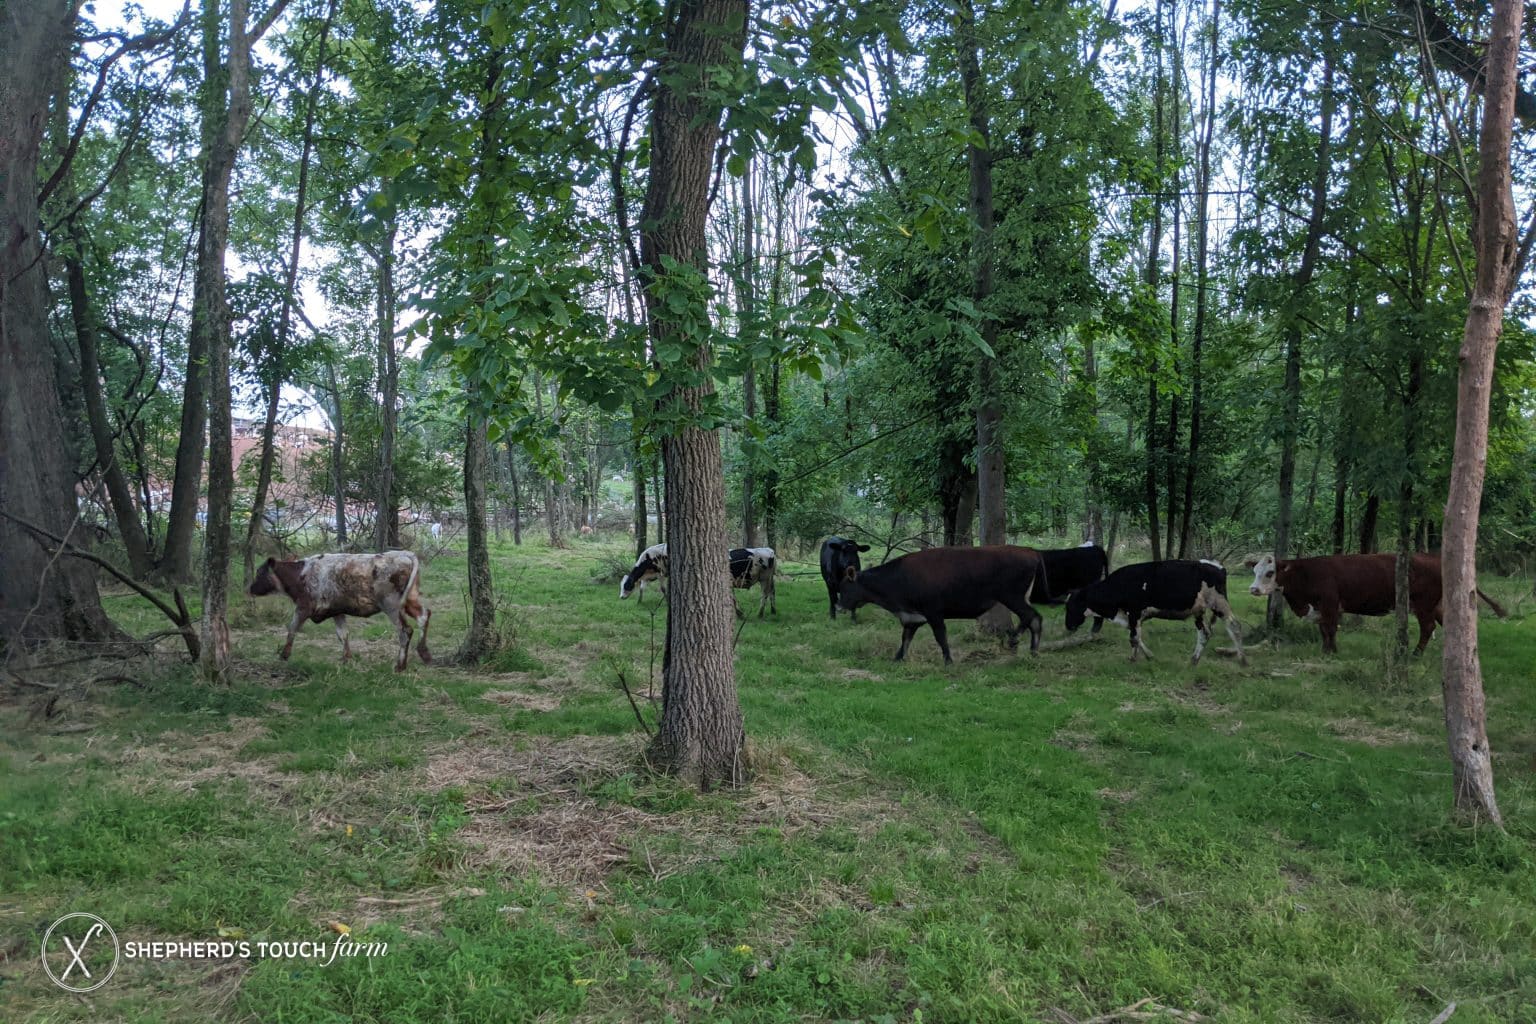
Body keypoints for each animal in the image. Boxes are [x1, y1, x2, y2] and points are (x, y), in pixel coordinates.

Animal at [248, 550, 432, 671]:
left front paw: (284, 655)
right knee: (424, 615)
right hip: (410, 600)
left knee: (405, 630)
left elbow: (292, 628)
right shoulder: (337, 611)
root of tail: (404, 554)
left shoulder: (303, 607)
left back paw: (400, 665)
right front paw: (346, 659)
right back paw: (424, 653)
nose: (250, 588)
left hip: (391, 606)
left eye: (259, 572)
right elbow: (343, 634)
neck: (300, 574)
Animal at [836, 545, 1046, 664]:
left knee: (1030, 616)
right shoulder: (912, 618)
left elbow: (940, 637)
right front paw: (897, 658)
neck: (901, 578)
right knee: (1034, 619)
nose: (838, 607)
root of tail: (1029, 551)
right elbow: (905, 639)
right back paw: (1034, 652)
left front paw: (948, 660)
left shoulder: (934, 614)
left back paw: (1014, 640)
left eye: (845, 587)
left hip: (1012, 597)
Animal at [1065, 559, 1246, 666]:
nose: (1068, 626)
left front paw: (1134, 659)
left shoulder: (1134, 612)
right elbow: (1136, 636)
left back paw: (1243, 660)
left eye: (1071, 606)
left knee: (1235, 627)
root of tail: (1218, 566)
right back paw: (1194, 660)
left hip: (1219, 603)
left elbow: (1134, 638)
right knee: (1205, 633)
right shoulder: (1133, 617)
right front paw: (1147, 656)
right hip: (1199, 611)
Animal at [1247, 552, 1505, 654]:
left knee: (1427, 627)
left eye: (1270, 572)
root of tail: (1433, 557)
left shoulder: (1330, 603)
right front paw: (1325, 649)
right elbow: (1323, 630)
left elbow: (1329, 628)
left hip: (1423, 605)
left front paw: (1331, 651)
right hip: (1437, 605)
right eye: (1255, 571)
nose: (1253, 589)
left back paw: (1415, 654)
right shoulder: (1321, 607)